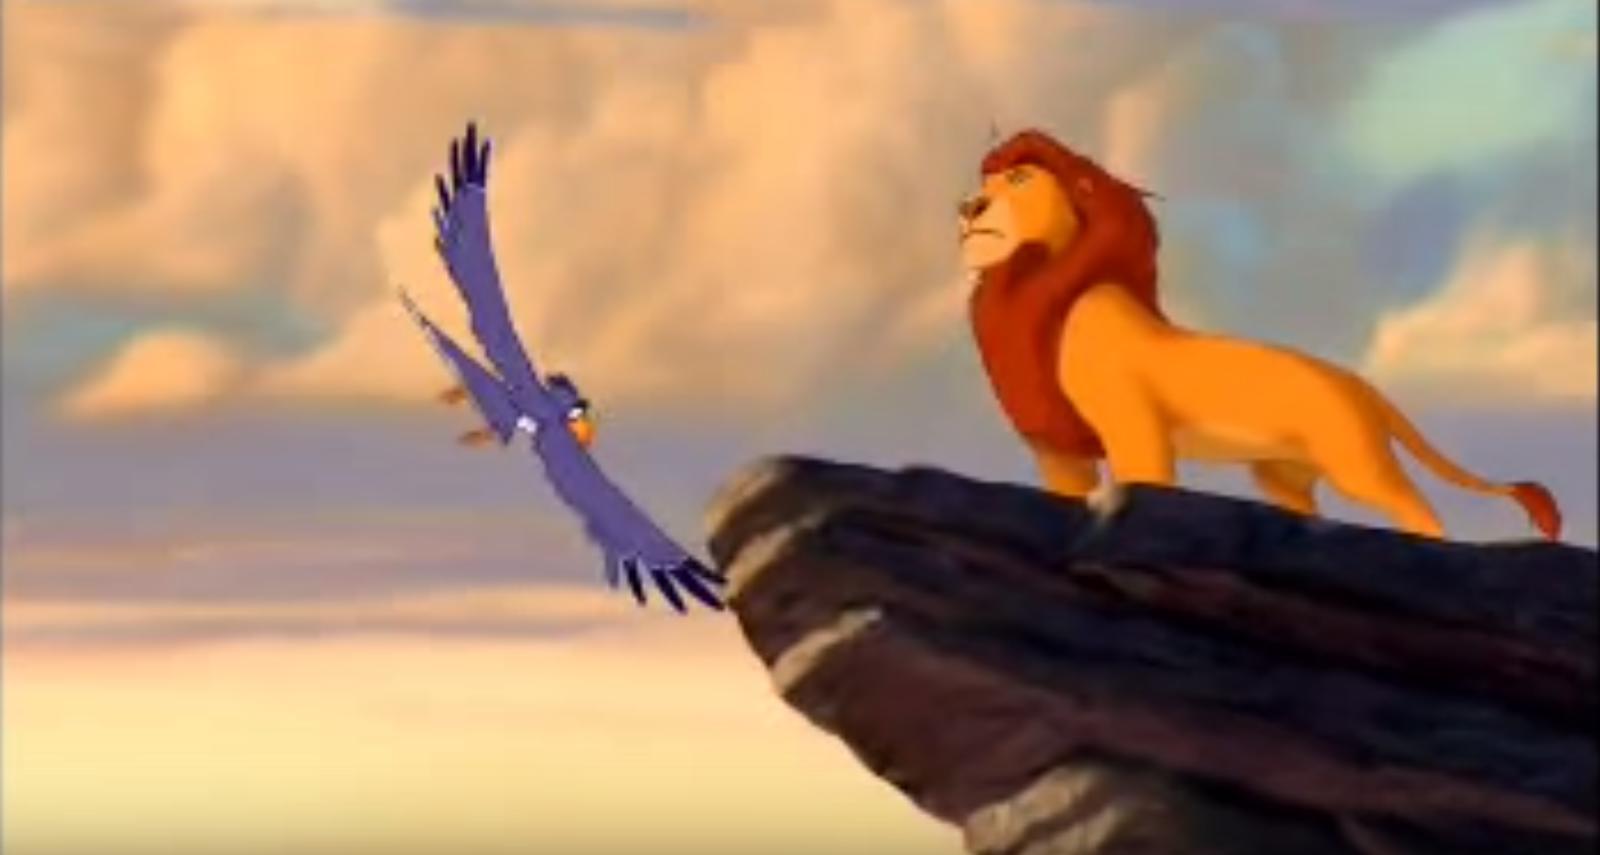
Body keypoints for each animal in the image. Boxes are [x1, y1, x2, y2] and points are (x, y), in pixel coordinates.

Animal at [960, 129, 1562, 542]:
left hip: (1358, 463)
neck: (1036, 286)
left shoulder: (1136, 430)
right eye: (983, 183)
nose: (969, 207)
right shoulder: (1057, 453)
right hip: (1284, 478)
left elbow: (1148, 480)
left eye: (1018, 180)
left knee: (1417, 510)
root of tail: (1362, 385)